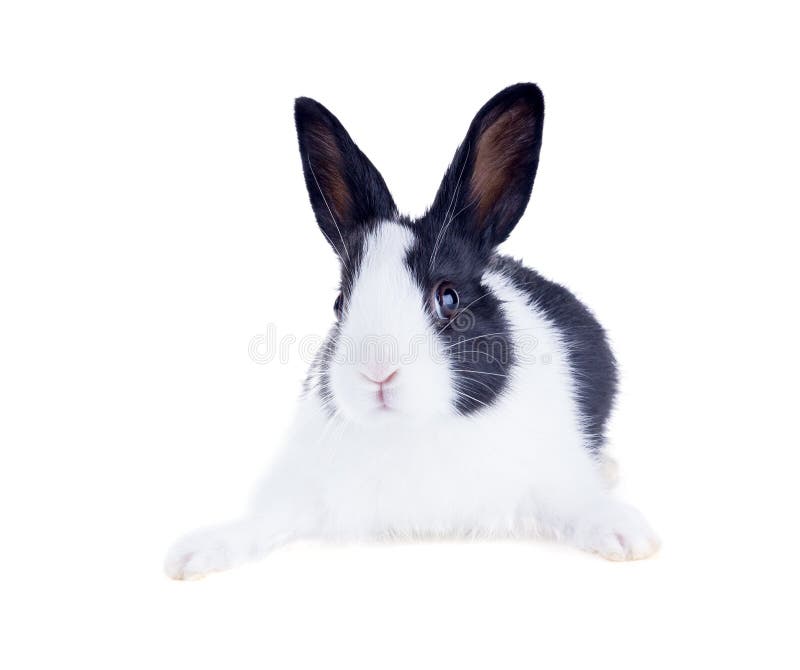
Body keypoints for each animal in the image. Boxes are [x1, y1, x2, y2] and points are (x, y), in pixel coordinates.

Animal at [165, 83, 659, 580]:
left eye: (449, 298)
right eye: (340, 303)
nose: (377, 374)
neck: (411, 427)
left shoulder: (556, 473)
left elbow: (578, 504)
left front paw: (627, 535)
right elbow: (263, 520)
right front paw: (195, 554)